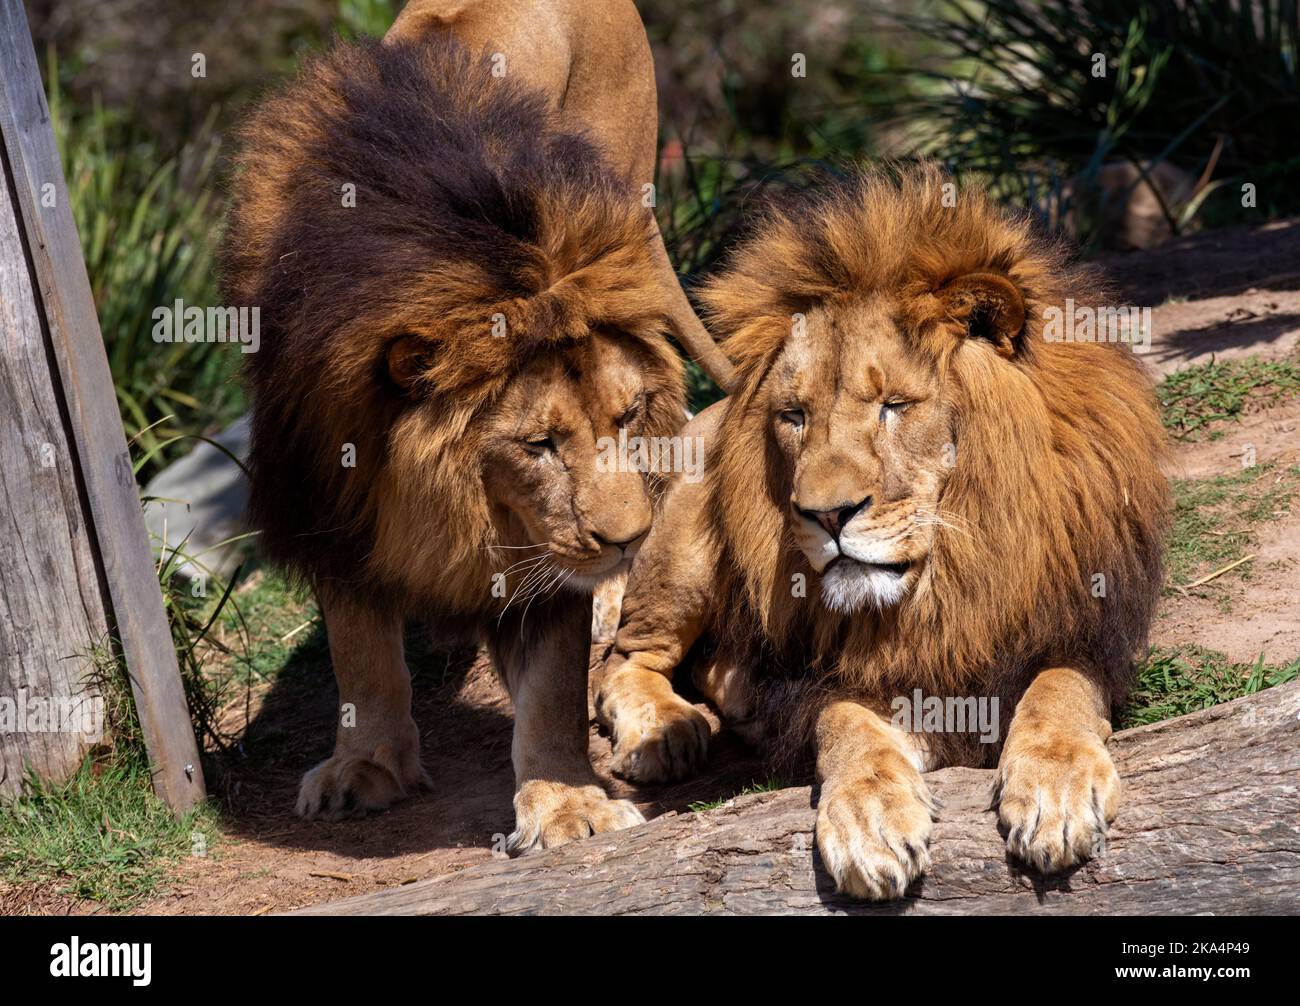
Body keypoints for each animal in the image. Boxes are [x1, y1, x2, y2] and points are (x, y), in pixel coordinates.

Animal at [221, 35, 688, 849]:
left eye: (628, 417)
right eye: (539, 444)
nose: (628, 539)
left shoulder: (547, 551)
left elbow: (551, 686)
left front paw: (567, 803)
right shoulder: (329, 495)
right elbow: (360, 652)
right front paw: (365, 766)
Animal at [595, 165, 1171, 899]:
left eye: (894, 406)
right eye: (795, 416)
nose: (824, 514)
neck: (952, 575)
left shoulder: (1086, 629)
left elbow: (1059, 690)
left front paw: (1055, 791)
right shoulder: (829, 681)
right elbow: (847, 726)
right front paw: (869, 821)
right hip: (685, 550)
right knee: (624, 656)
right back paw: (666, 733)